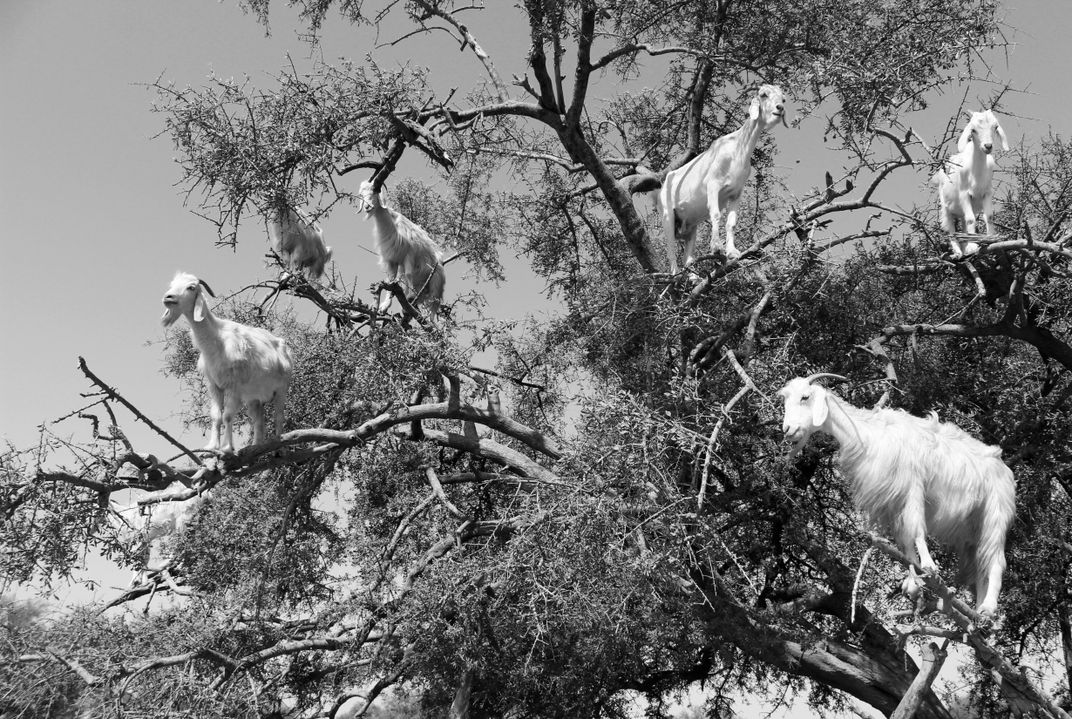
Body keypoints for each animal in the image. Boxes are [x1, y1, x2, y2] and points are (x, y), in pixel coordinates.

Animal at [161, 272, 293, 453]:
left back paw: (280, 449)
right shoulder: (215, 386)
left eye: (191, 287)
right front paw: (211, 447)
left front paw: (226, 447)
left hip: (281, 389)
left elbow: (228, 416)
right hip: (254, 397)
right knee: (259, 419)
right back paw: (256, 446)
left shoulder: (233, 386)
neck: (216, 341)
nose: (168, 297)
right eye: (172, 285)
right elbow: (216, 416)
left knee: (279, 416)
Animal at [357, 181, 446, 316]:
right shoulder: (391, 259)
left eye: (375, 191)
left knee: (432, 309)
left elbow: (408, 274)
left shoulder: (409, 254)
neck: (392, 226)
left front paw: (410, 297)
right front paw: (384, 307)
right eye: (361, 195)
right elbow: (390, 280)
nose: (367, 207)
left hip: (435, 284)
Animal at [658, 85, 786, 273]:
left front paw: (732, 252)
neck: (738, 150)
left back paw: (693, 276)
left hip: (690, 225)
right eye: (763, 95)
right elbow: (716, 214)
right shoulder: (713, 185)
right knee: (670, 249)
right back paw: (675, 274)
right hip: (668, 216)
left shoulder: (736, 193)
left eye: (783, 99)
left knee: (688, 256)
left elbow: (731, 222)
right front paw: (716, 247)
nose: (779, 108)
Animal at [778, 374, 1016, 617]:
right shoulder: (892, 503)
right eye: (785, 400)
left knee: (996, 561)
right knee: (981, 565)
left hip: (995, 514)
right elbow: (906, 544)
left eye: (805, 397)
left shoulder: (912, 487)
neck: (869, 434)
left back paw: (988, 608)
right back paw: (979, 612)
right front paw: (913, 584)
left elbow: (917, 530)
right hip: (972, 528)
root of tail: (1005, 470)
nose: (787, 429)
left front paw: (929, 566)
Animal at [932, 110, 1009, 258]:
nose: (988, 146)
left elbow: (989, 217)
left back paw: (965, 247)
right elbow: (971, 219)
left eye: (995, 127)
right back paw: (958, 253)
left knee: (963, 225)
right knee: (950, 228)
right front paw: (973, 247)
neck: (976, 172)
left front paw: (990, 239)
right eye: (973, 130)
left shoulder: (987, 193)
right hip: (945, 206)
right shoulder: (964, 194)